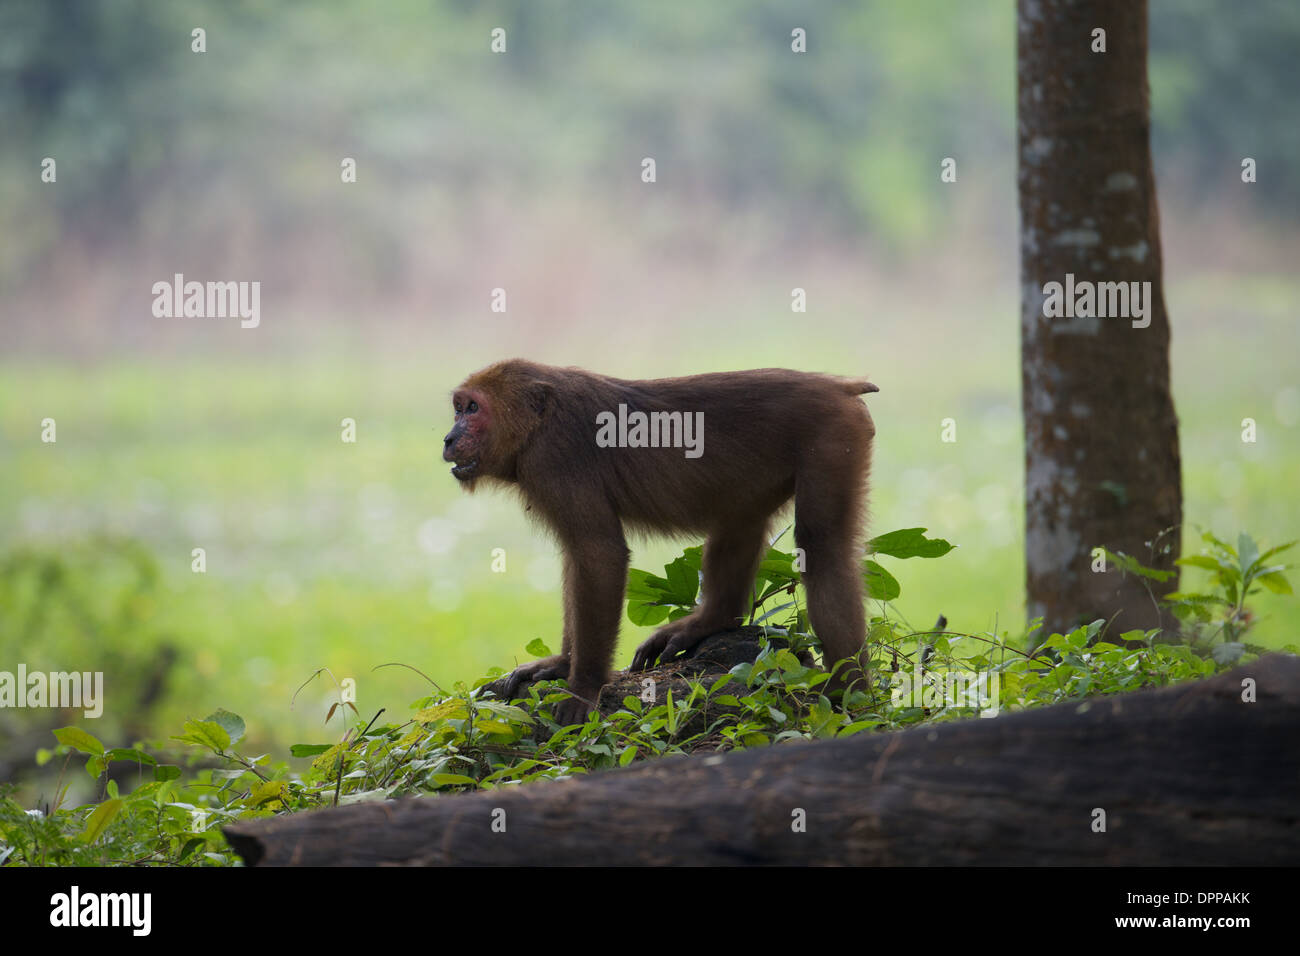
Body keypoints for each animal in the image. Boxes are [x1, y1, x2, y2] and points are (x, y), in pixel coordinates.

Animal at [443, 359, 878, 726]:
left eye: (472, 409)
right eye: (458, 408)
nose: (448, 437)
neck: (538, 424)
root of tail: (838, 385)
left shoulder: (552, 459)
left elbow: (598, 553)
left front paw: (583, 685)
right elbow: (581, 556)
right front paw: (563, 663)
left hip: (834, 436)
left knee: (822, 547)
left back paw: (851, 696)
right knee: (740, 516)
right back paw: (713, 619)